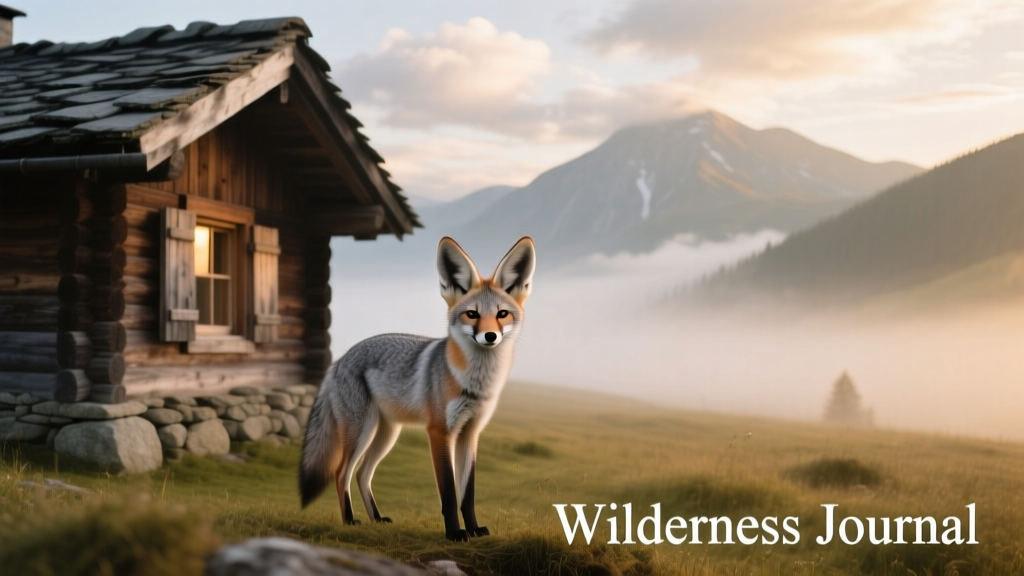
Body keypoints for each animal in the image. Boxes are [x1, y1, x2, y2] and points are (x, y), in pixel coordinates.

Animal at [298, 236, 536, 541]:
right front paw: (455, 534)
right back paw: (350, 521)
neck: (474, 384)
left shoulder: (470, 434)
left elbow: (467, 495)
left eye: (502, 314)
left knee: (363, 474)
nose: (490, 336)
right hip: (362, 431)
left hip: (386, 434)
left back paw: (377, 519)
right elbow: (449, 495)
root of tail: (339, 359)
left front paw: (473, 530)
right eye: (472, 314)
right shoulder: (439, 432)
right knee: (342, 474)